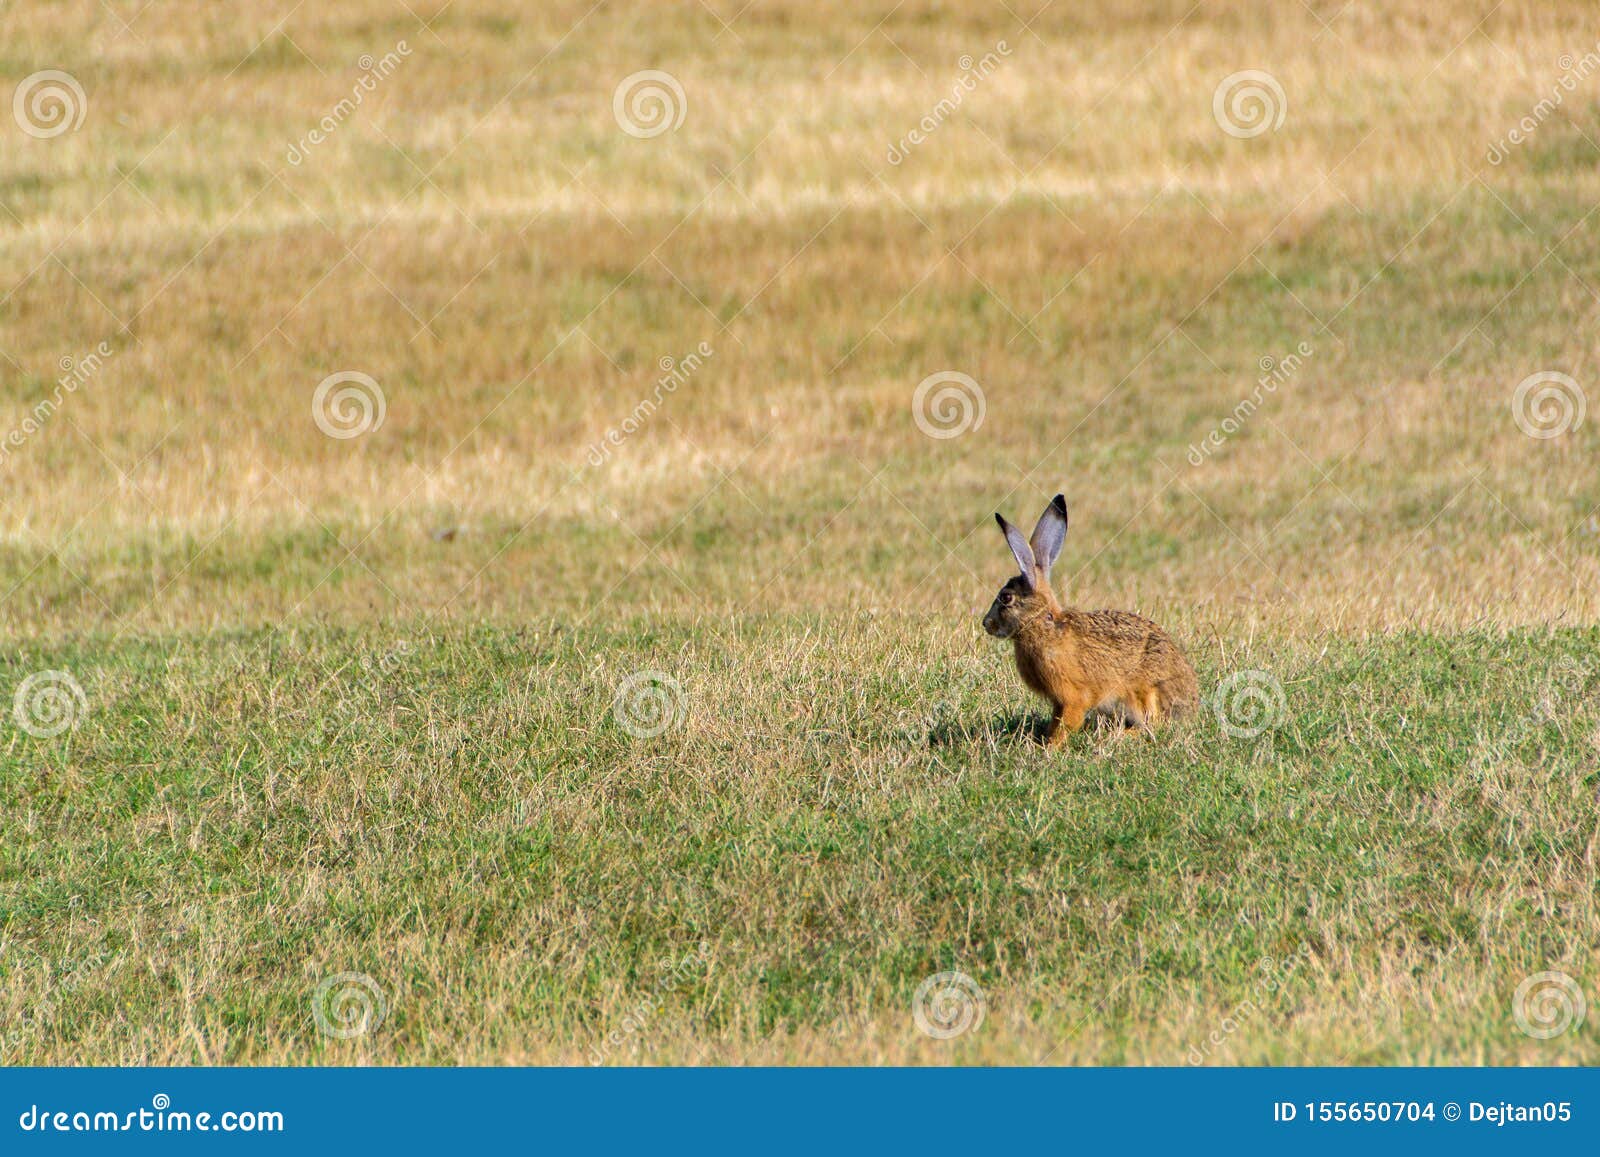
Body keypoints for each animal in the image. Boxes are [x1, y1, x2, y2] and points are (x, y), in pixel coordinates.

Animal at [983, 494, 1198, 745]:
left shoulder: (1073, 695)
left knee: (1153, 723)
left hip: (1143, 692)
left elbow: (1069, 721)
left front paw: (1050, 746)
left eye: (1006, 598)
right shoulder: (1058, 701)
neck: (1044, 626)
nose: (986, 624)